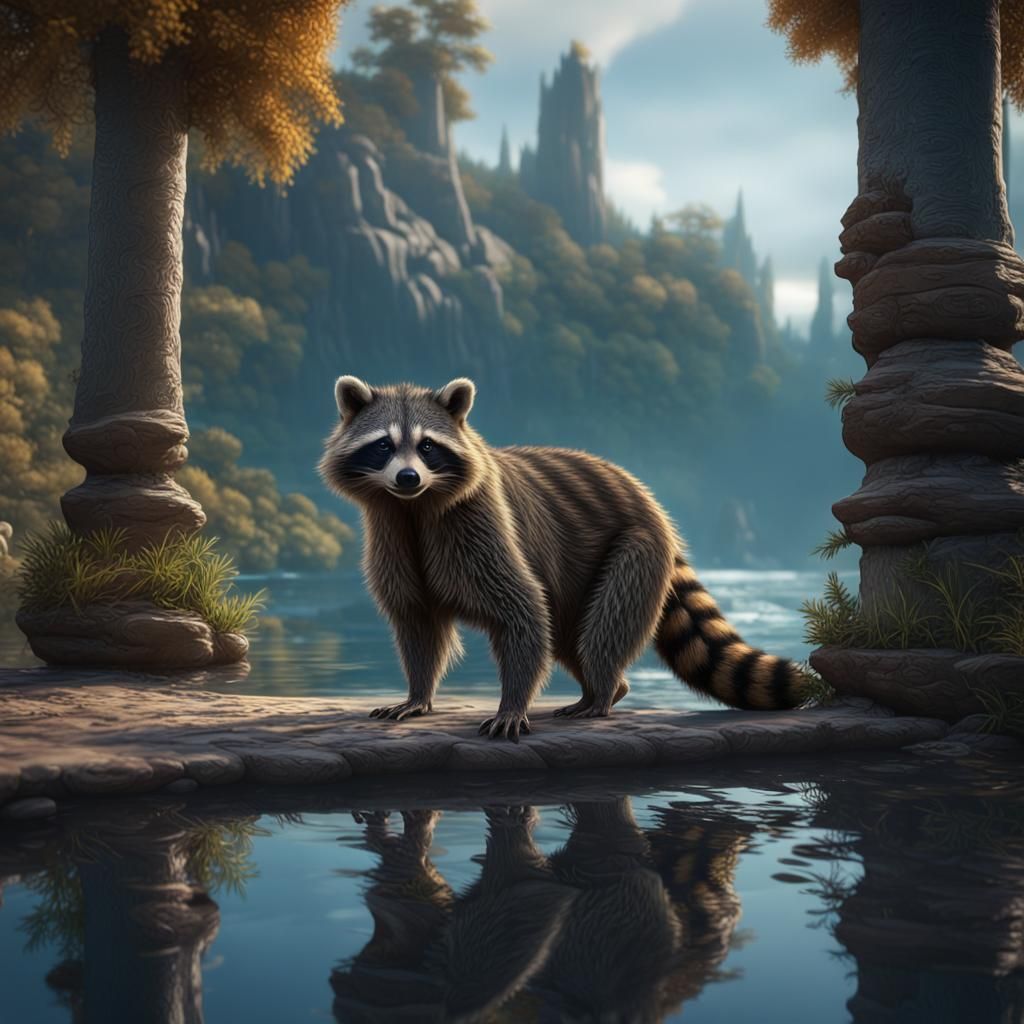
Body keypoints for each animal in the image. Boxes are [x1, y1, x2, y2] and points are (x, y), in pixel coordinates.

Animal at [319, 376, 809, 740]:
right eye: (384, 445)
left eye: (426, 447)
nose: (408, 477)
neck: (413, 507)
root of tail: (649, 501)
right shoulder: (390, 533)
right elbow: (417, 619)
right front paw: (418, 694)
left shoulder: (479, 524)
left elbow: (521, 608)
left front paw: (512, 704)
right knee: (572, 637)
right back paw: (604, 688)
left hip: (635, 549)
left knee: (601, 631)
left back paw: (602, 690)